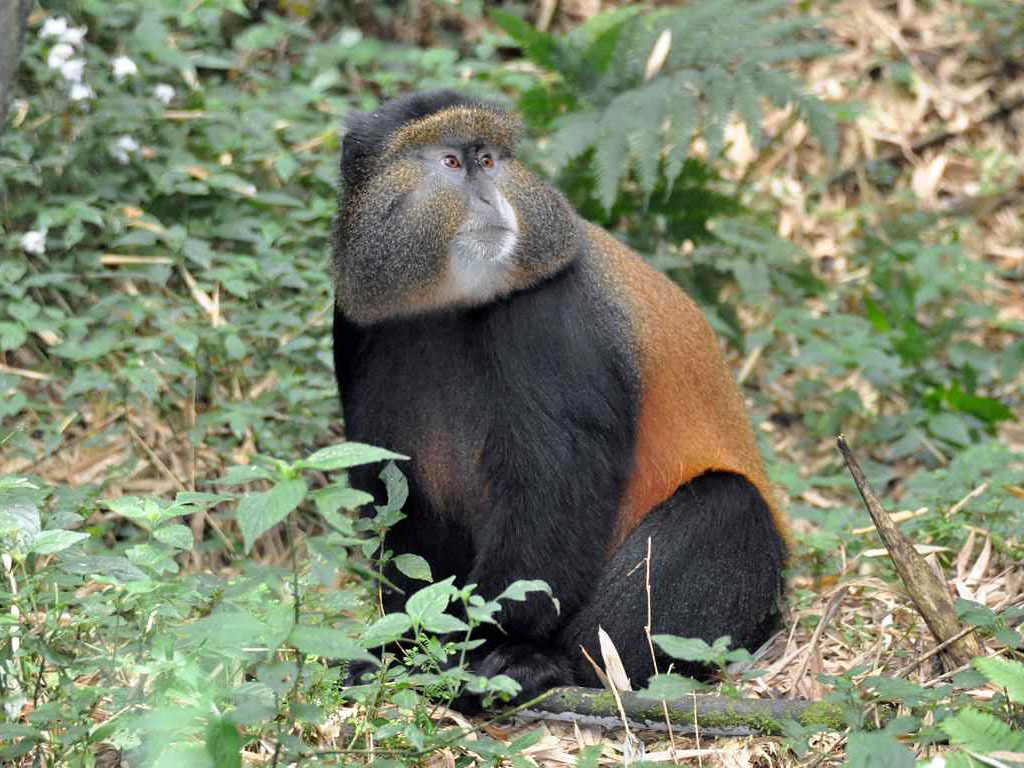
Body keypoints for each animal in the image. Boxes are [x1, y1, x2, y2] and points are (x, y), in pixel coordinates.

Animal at [332, 89, 789, 707]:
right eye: (452, 162)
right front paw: (403, 649)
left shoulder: (550, 314)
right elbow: (390, 485)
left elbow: (556, 486)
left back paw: (555, 667)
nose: (490, 195)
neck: (449, 303)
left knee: (729, 505)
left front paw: (481, 651)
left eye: (489, 159)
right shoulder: (352, 318)